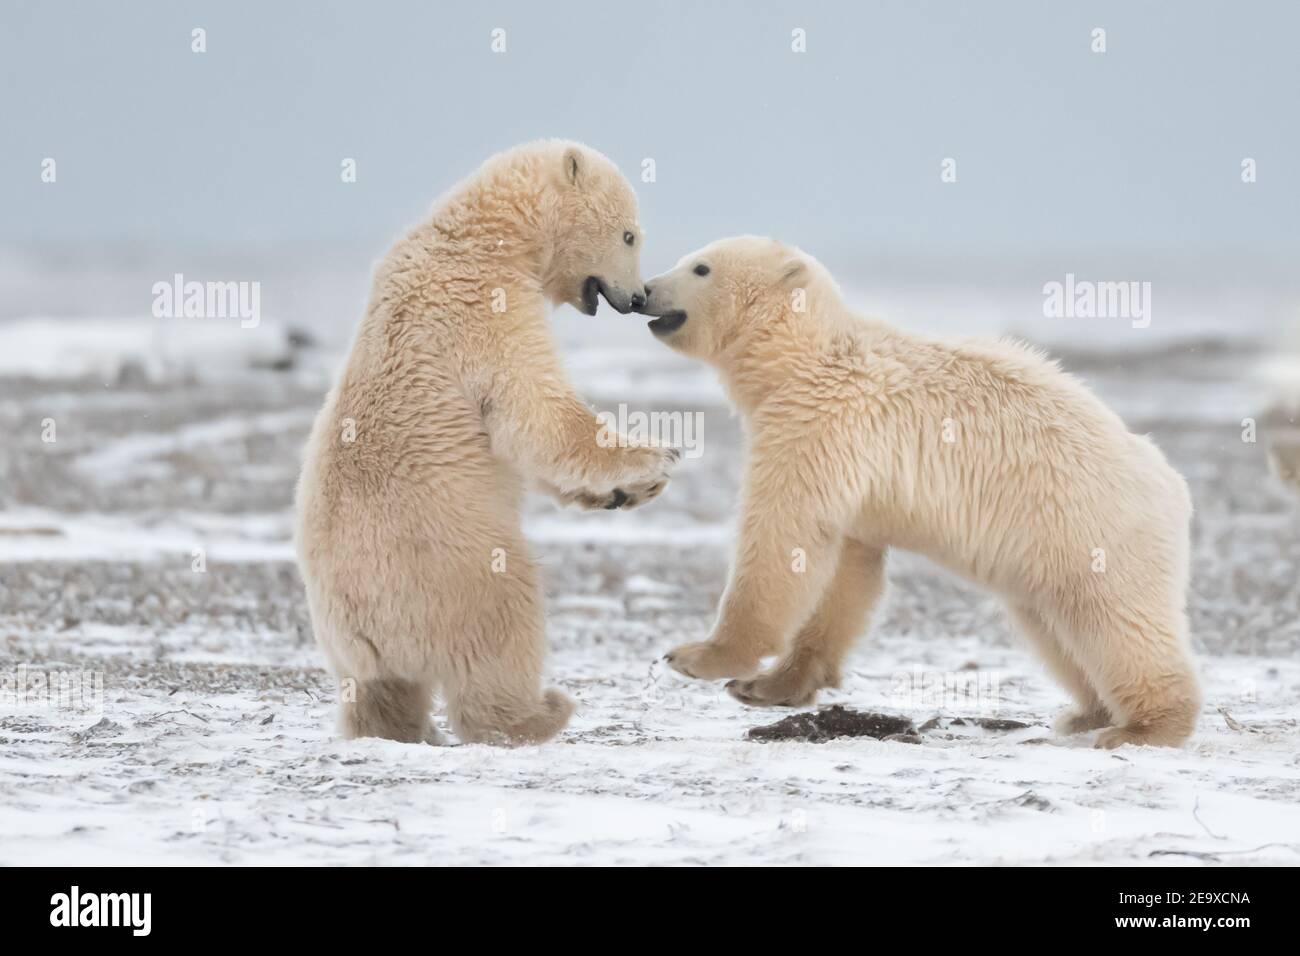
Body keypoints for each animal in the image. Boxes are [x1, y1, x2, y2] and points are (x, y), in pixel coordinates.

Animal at [295, 141, 677, 746]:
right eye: (629, 235)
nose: (638, 297)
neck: (484, 236)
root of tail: (366, 631)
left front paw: (623, 493)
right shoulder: (486, 305)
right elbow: (534, 411)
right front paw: (653, 461)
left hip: (349, 645)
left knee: (379, 694)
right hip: (452, 565)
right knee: (502, 625)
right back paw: (538, 713)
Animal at [638, 236, 1201, 748]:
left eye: (701, 266)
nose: (644, 291)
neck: (809, 354)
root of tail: (1172, 484)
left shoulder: (821, 421)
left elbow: (784, 534)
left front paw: (700, 657)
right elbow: (848, 569)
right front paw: (772, 684)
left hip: (1090, 528)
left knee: (1115, 623)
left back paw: (1143, 728)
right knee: (1053, 625)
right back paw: (1086, 713)